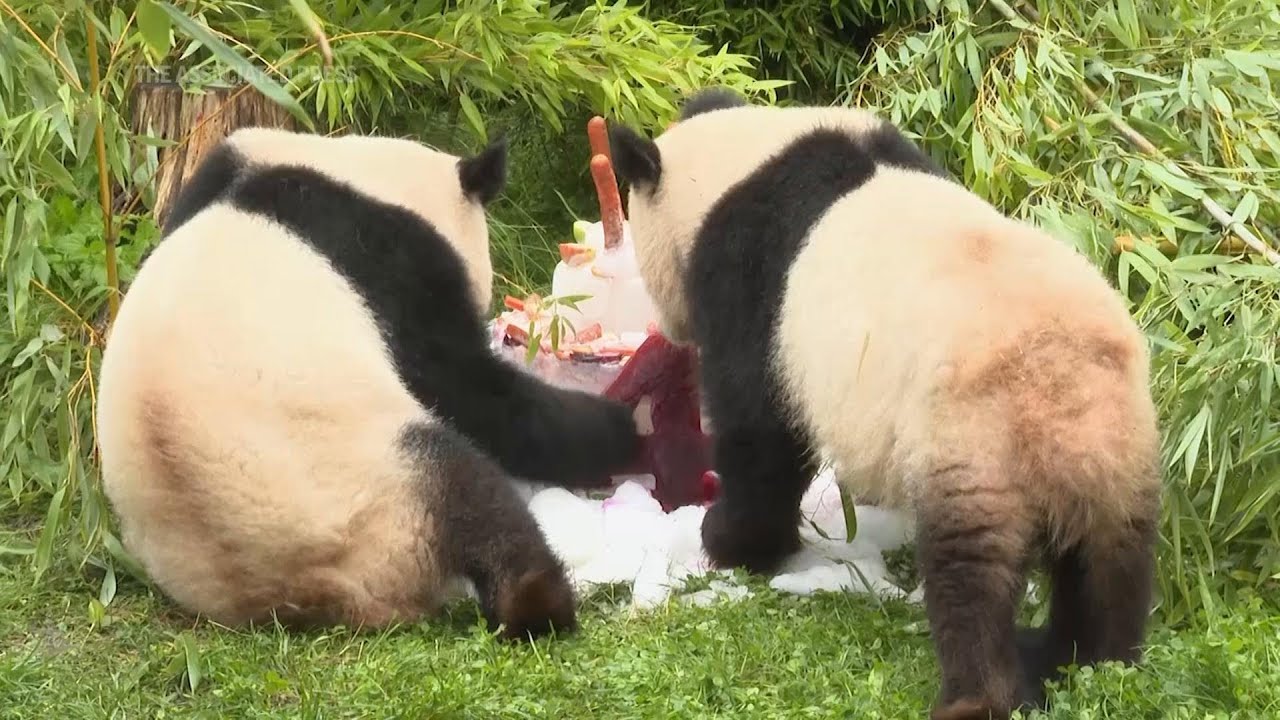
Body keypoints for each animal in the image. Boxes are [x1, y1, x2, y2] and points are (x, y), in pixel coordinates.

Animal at [95, 127, 643, 640]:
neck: (363, 175)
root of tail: (314, 593)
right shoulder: (390, 262)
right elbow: (470, 389)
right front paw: (627, 426)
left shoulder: (218, 172)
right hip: (377, 489)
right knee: (474, 494)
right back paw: (540, 605)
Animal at [608, 90, 1161, 719]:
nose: (666, 329)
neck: (734, 166)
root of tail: (1061, 370)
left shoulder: (749, 283)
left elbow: (762, 432)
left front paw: (727, 539)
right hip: (1116, 441)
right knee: (1108, 560)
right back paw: (1092, 663)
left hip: (973, 432)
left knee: (971, 574)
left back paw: (977, 696)